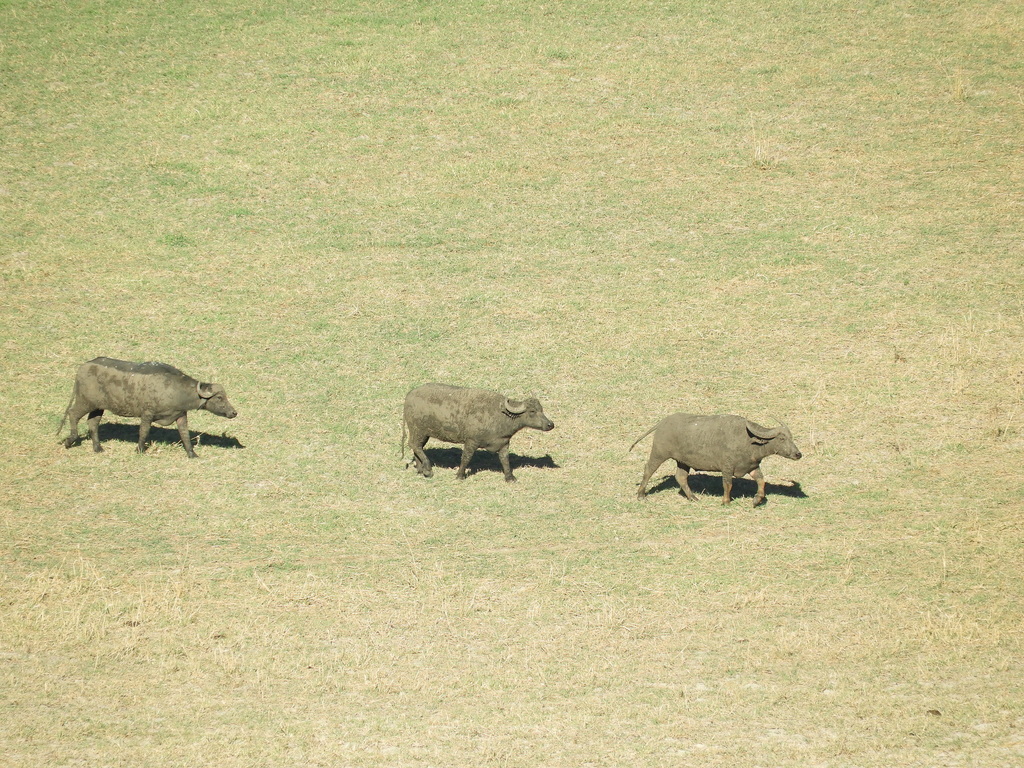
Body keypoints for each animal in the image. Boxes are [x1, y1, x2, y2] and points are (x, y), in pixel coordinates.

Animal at [58, 357, 237, 457]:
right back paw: (70, 440)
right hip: (85, 402)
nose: (233, 412)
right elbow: (144, 432)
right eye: (220, 397)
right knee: (72, 414)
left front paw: (192, 454)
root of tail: (83, 367)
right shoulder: (147, 414)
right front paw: (140, 450)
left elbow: (185, 435)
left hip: (98, 407)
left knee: (93, 423)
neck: (175, 389)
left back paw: (97, 448)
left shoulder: (181, 415)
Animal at [403, 383, 555, 482]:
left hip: (424, 433)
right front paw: (459, 475)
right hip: (418, 430)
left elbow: (505, 460)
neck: (501, 415)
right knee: (414, 445)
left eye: (541, 409)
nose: (550, 424)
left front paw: (510, 477)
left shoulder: (504, 443)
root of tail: (409, 396)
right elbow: (466, 458)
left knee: (417, 446)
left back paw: (421, 469)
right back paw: (428, 469)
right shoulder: (471, 441)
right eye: (532, 411)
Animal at [630, 413, 801, 506]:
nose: (798, 454)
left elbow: (761, 481)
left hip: (683, 462)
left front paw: (757, 500)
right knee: (648, 470)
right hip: (659, 453)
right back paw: (641, 495)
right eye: (782, 438)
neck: (749, 441)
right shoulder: (727, 467)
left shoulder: (752, 467)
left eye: (791, 437)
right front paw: (726, 501)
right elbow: (728, 484)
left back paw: (693, 498)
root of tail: (662, 423)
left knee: (681, 477)